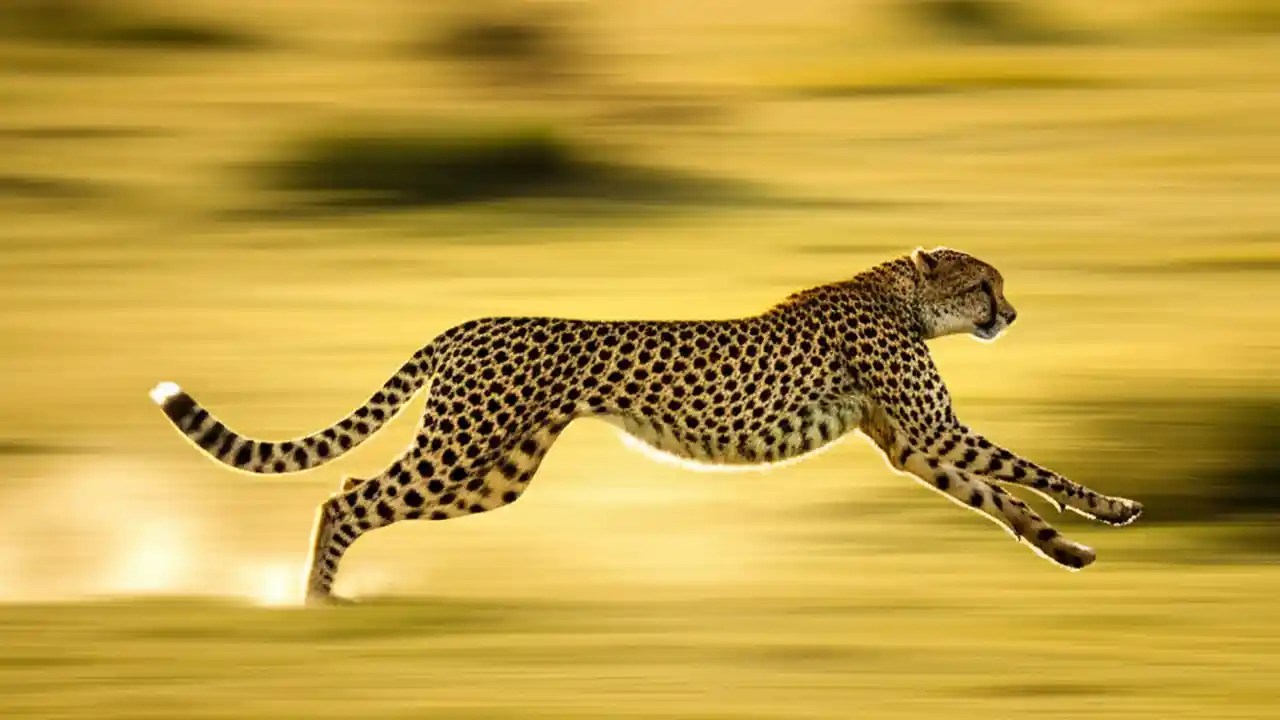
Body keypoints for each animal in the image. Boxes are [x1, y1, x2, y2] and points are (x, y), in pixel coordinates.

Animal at [151, 247, 1143, 604]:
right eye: (984, 284)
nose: (1009, 315)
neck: (897, 294)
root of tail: (469, 321)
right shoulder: (932, 433)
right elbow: (1030, 469)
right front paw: (1115, 511)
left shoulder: (914, 448)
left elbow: (999, 497)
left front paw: (1067, 550)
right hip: (463, 449)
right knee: (346, 496)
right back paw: (317, 603)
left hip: (493, 474)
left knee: (357, 486)